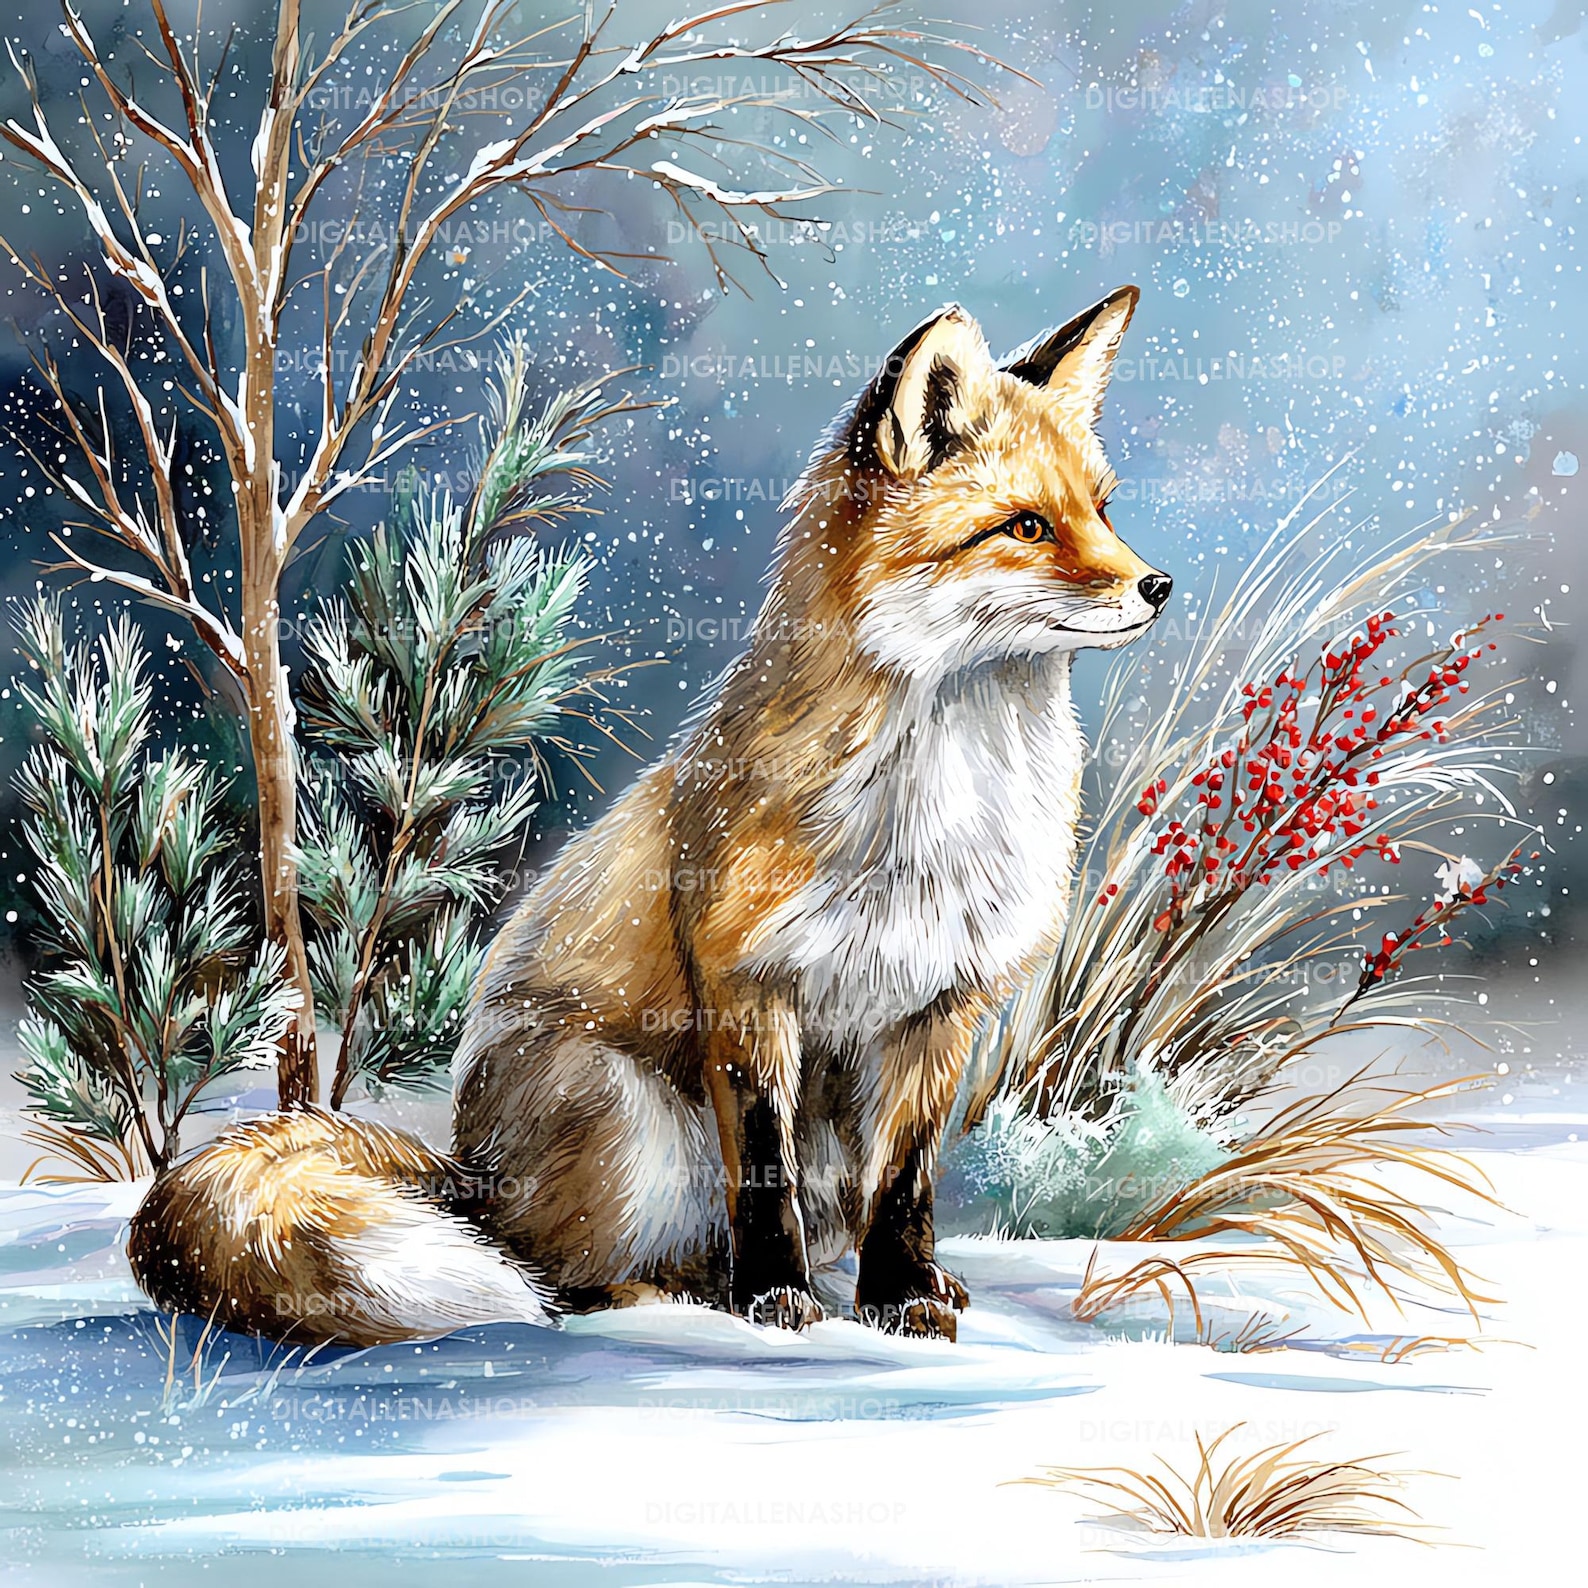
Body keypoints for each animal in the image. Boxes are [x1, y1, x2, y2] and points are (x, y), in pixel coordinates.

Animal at [128, 286, 1172, 1346]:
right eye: (1026, 526)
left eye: (1100, 509)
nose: (1158, 585)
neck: (938, 812)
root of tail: (471, 1178)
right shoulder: (747, 986)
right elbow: (765, 1173)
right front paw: (776, 1301)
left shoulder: (940, 1003)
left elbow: (906, 1186)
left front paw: (904, 1294)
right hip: (622, 1113)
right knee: (557, 1275)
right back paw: (669, 1297)